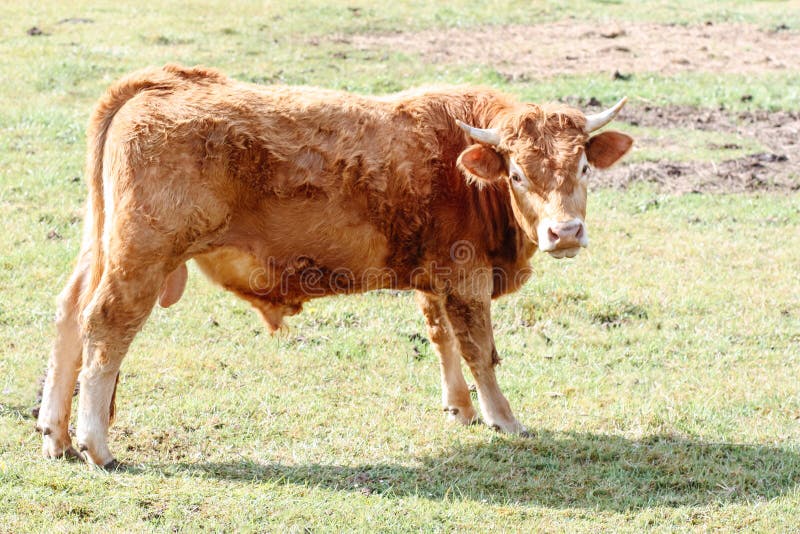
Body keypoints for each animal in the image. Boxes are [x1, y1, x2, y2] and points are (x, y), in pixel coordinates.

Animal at [35, 64, 633, 468]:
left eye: (582, 166)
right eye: (517, 174)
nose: (565, 233)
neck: (461, 169)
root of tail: (162, 83)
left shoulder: (435, 277)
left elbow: (442, 339)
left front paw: (459, 408)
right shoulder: (468, 276)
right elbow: (480, 350)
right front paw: (503, 419)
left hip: (102, 244)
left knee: (68, 312)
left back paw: (56, 434)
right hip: (142, 256)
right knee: (106, 326)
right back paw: (96, 445)